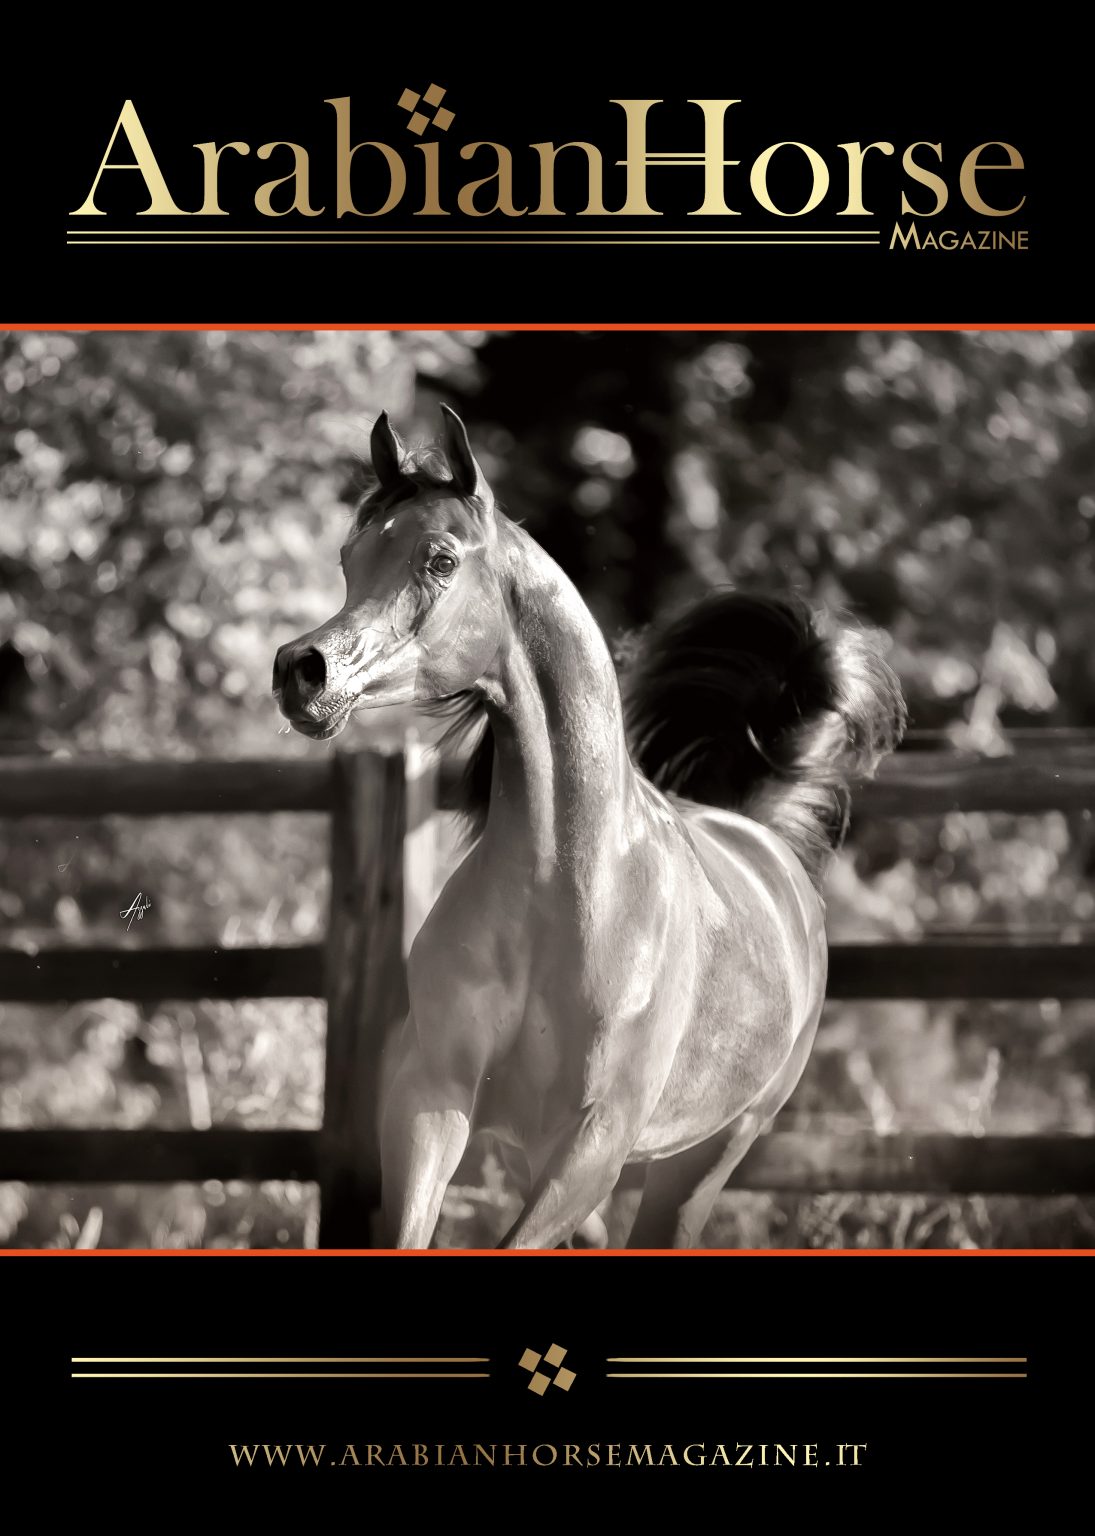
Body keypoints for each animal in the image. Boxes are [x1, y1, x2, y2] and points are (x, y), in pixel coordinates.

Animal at [273, 406, 906, 1249]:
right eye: (350, 556)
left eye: (439, 559)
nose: (302, 671)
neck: (570, 893)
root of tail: (767, 847)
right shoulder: (430, 1100)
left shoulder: (594, 1144)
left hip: (701, 1160)